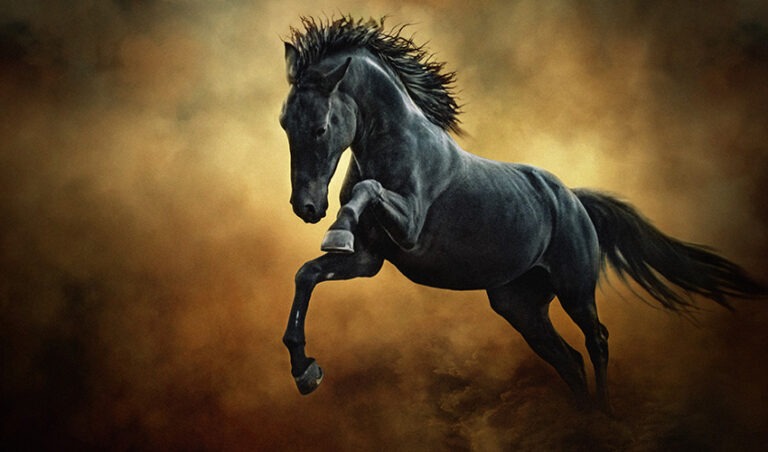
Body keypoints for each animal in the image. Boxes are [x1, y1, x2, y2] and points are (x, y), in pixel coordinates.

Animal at [278, 16, 767, 412]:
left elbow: (367, 189)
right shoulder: (368, 261)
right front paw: (305, 371)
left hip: (574, 289)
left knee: (597, 342)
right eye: (285, 123)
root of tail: (573, 199)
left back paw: (607, 416)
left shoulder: (410, 226)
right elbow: (306, 274)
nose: (307, 208)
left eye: (320, 128)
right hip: (521, 305)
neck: (397, 143)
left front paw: (337, 231)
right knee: (568, 360)